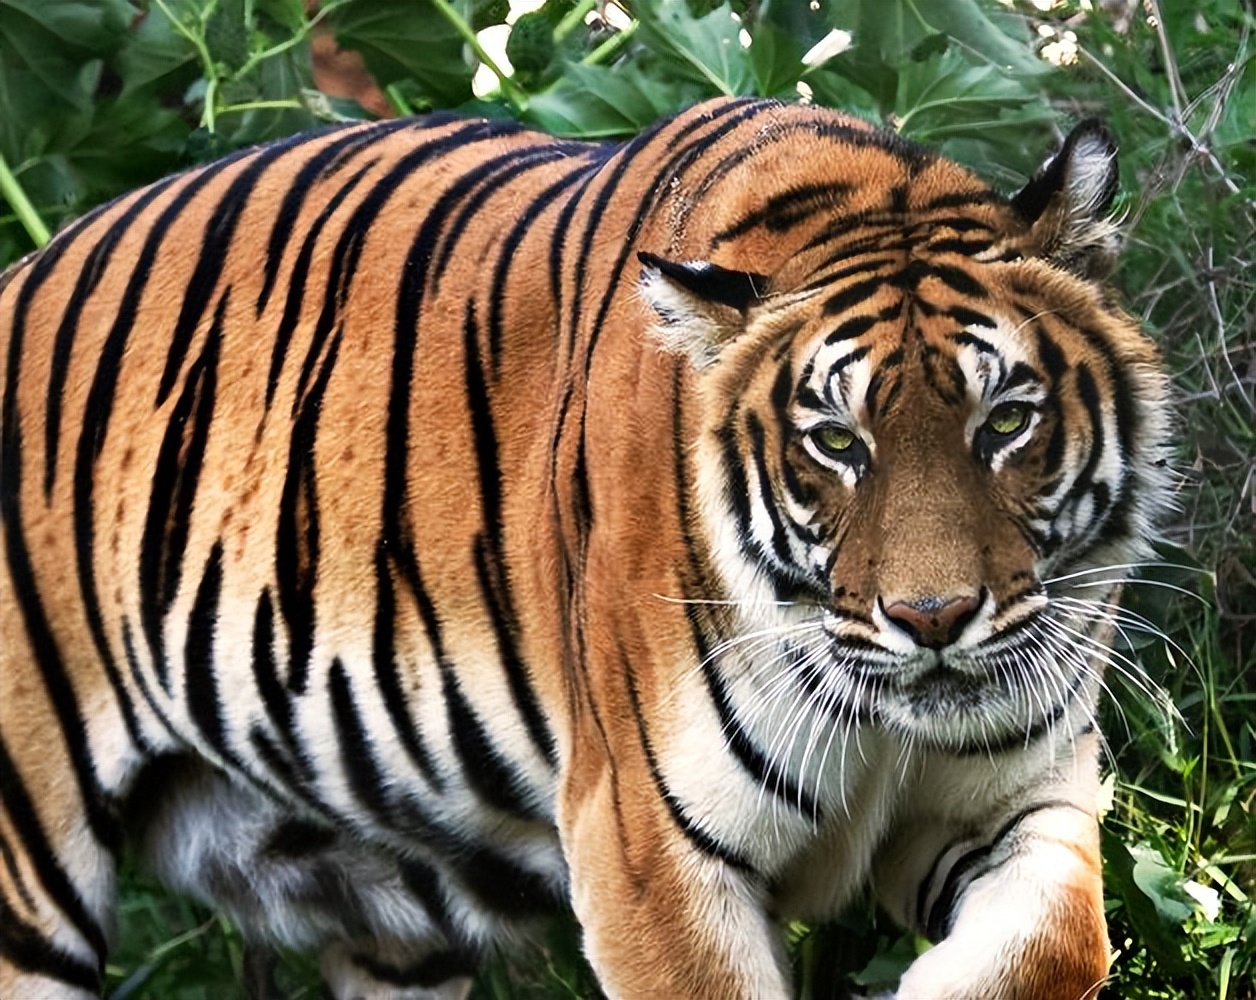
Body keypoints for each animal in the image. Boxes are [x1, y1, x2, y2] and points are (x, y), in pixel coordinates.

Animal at [0, 96, 1169, 1000]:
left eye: (1003, 422)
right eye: (836, 442)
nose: (933, 621)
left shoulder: (1022, 798)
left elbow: (1058, 945)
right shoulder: (650, 857)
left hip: (383, 905)